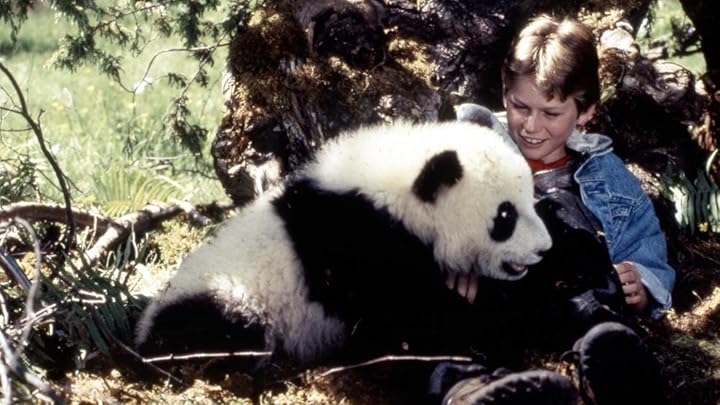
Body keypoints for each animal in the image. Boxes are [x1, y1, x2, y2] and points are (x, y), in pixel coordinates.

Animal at [134, 118, 552, 369]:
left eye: (532, 200)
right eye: (505, 217)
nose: (543, 249)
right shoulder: (356, 241)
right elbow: (409, 314)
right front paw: (492, 338)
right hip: (231, 296)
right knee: (216, 328)